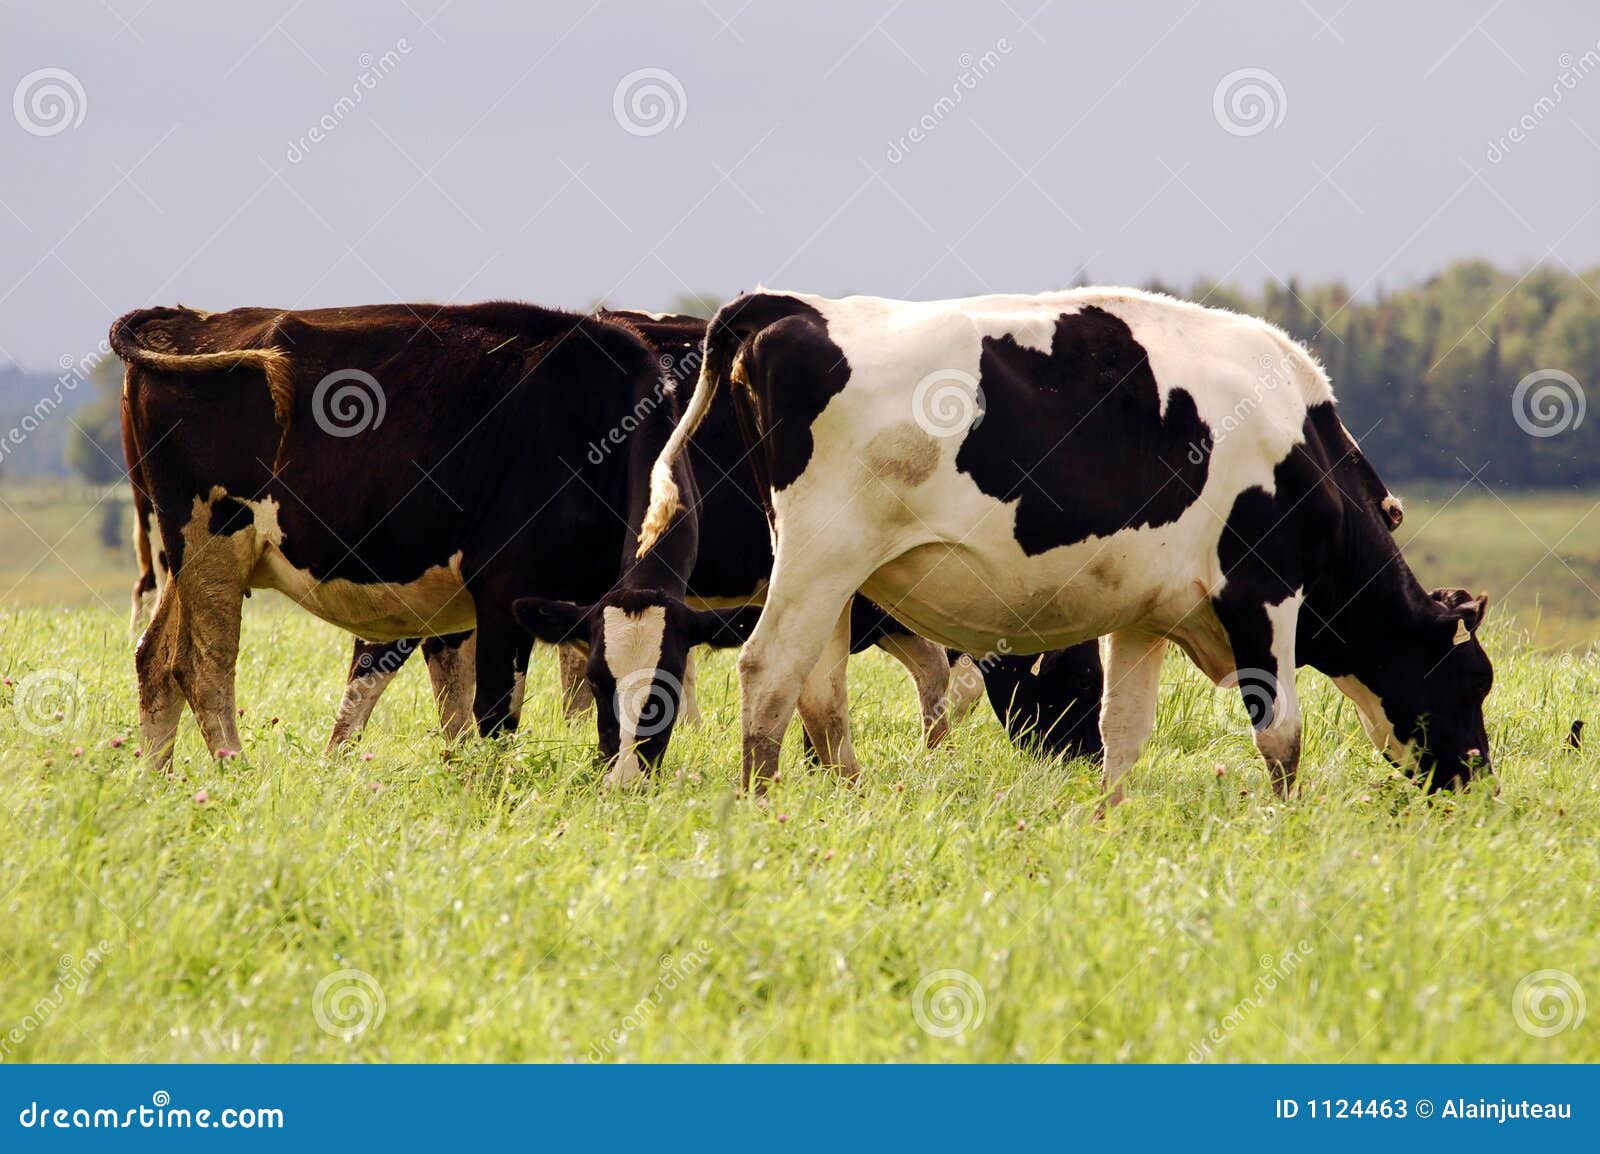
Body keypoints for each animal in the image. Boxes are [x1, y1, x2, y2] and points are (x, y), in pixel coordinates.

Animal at [112, 301, 757, 774]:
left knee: (154, 659)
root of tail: (190, 321)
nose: (624, 779)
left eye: (665, 691)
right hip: (211, 539)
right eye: (604, 682)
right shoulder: (504, 590)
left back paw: (157, 779)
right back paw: (234, 771)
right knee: (203, 666)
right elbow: (494, 713)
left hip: (186, 558)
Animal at [634, 288, 1495, 806]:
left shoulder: (1147, 614)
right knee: (770, 673)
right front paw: (1286, 823)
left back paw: (849, 798)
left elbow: (1125, 731)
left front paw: (1109, 819)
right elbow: (1281, 732)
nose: (1477, 783)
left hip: (838, 580)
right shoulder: (1264, 591)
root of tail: (799, 308)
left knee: (822, 695)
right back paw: (760, 802)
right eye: (1472, 680)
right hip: (820, 556)